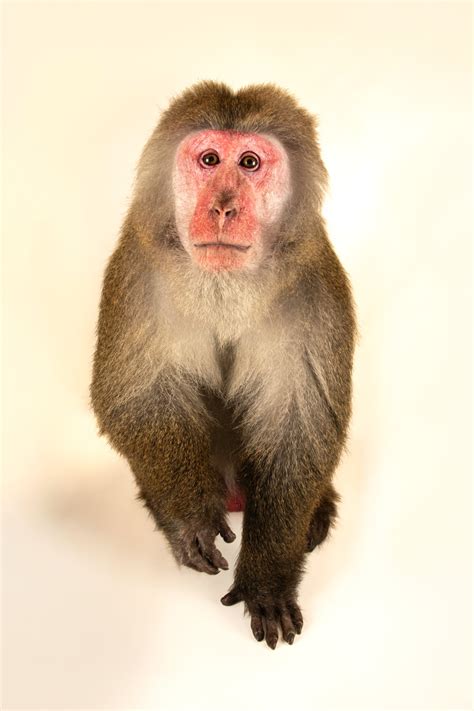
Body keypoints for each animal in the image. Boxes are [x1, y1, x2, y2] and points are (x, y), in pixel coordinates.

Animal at [90, 81, 356, 649]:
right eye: (209, 159)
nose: (222, 207)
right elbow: (137, 398)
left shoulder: (315, 290)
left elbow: (300, 427)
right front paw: (191, 518)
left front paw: (268, 574)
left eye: (250, 162)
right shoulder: (138, 269)